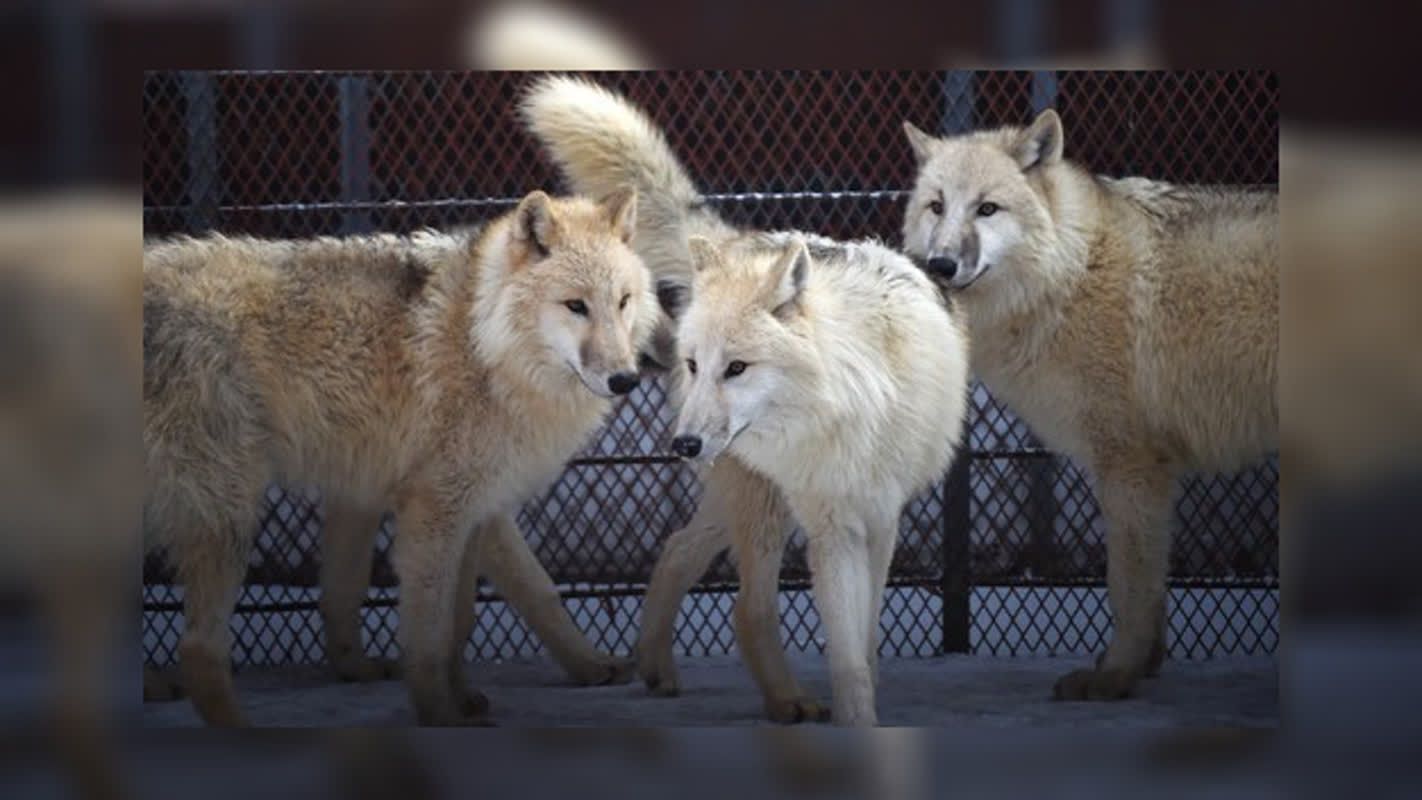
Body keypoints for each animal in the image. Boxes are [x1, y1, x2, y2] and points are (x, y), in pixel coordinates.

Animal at [144, 188, 657, 725]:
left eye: (622, 302)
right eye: (576, 306)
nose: (625, 380)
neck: (484, 345)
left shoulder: (460, 508)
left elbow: (492, 605)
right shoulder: (434, 511)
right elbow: (432, 632)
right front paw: (440, 713)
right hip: (229, 515)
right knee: (198, 648)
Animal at [523, 77, 970, 725]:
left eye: (737, 368)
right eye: (695, 365)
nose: (682, 444)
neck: (847, 403)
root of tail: (745, 243)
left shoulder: (878, 518)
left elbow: (862, 641)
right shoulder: (831, 524)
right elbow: (845, 652)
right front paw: (854, 717)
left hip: (744, 502)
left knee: (677, 549)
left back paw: (658, 668)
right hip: (762, 504)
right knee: (747, 607)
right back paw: (785, 700)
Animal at [900, 109, 1278, 701]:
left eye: (987, 208)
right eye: (936, 205)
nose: (938, 264)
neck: (1073, 271)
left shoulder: (1132, 465)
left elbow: (1128, 585)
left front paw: (1115, 676)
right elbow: (1149, 589)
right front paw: (1141, 666)